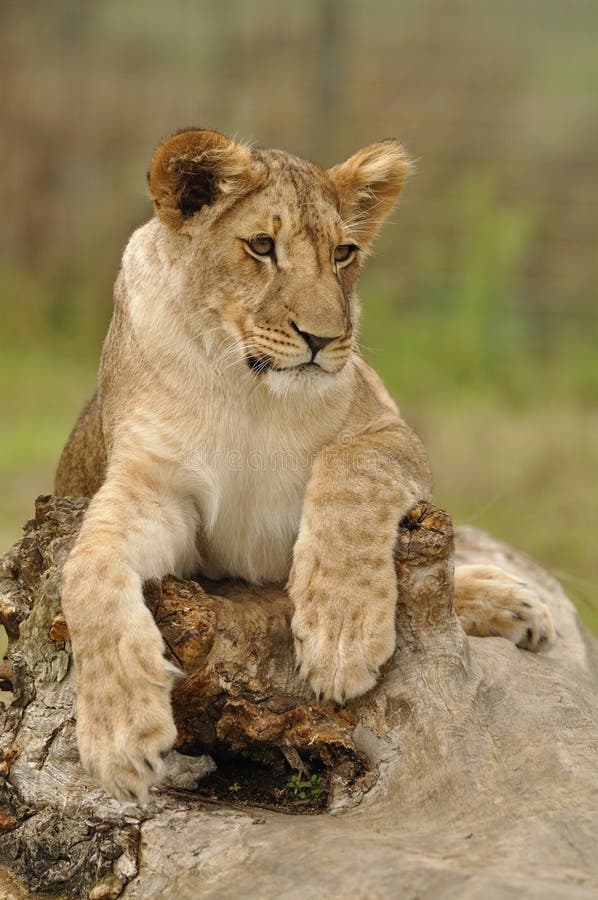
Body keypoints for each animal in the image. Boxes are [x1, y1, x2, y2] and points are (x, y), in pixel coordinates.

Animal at [56, 128, 556, 801]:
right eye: (262, 246)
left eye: (343, 253)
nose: (322, 339)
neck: (247, 387)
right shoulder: (155, 486)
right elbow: (86, 567)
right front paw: (120, 739)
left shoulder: (390, 433)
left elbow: (348, 474)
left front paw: (341, 637)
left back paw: (514, 606)